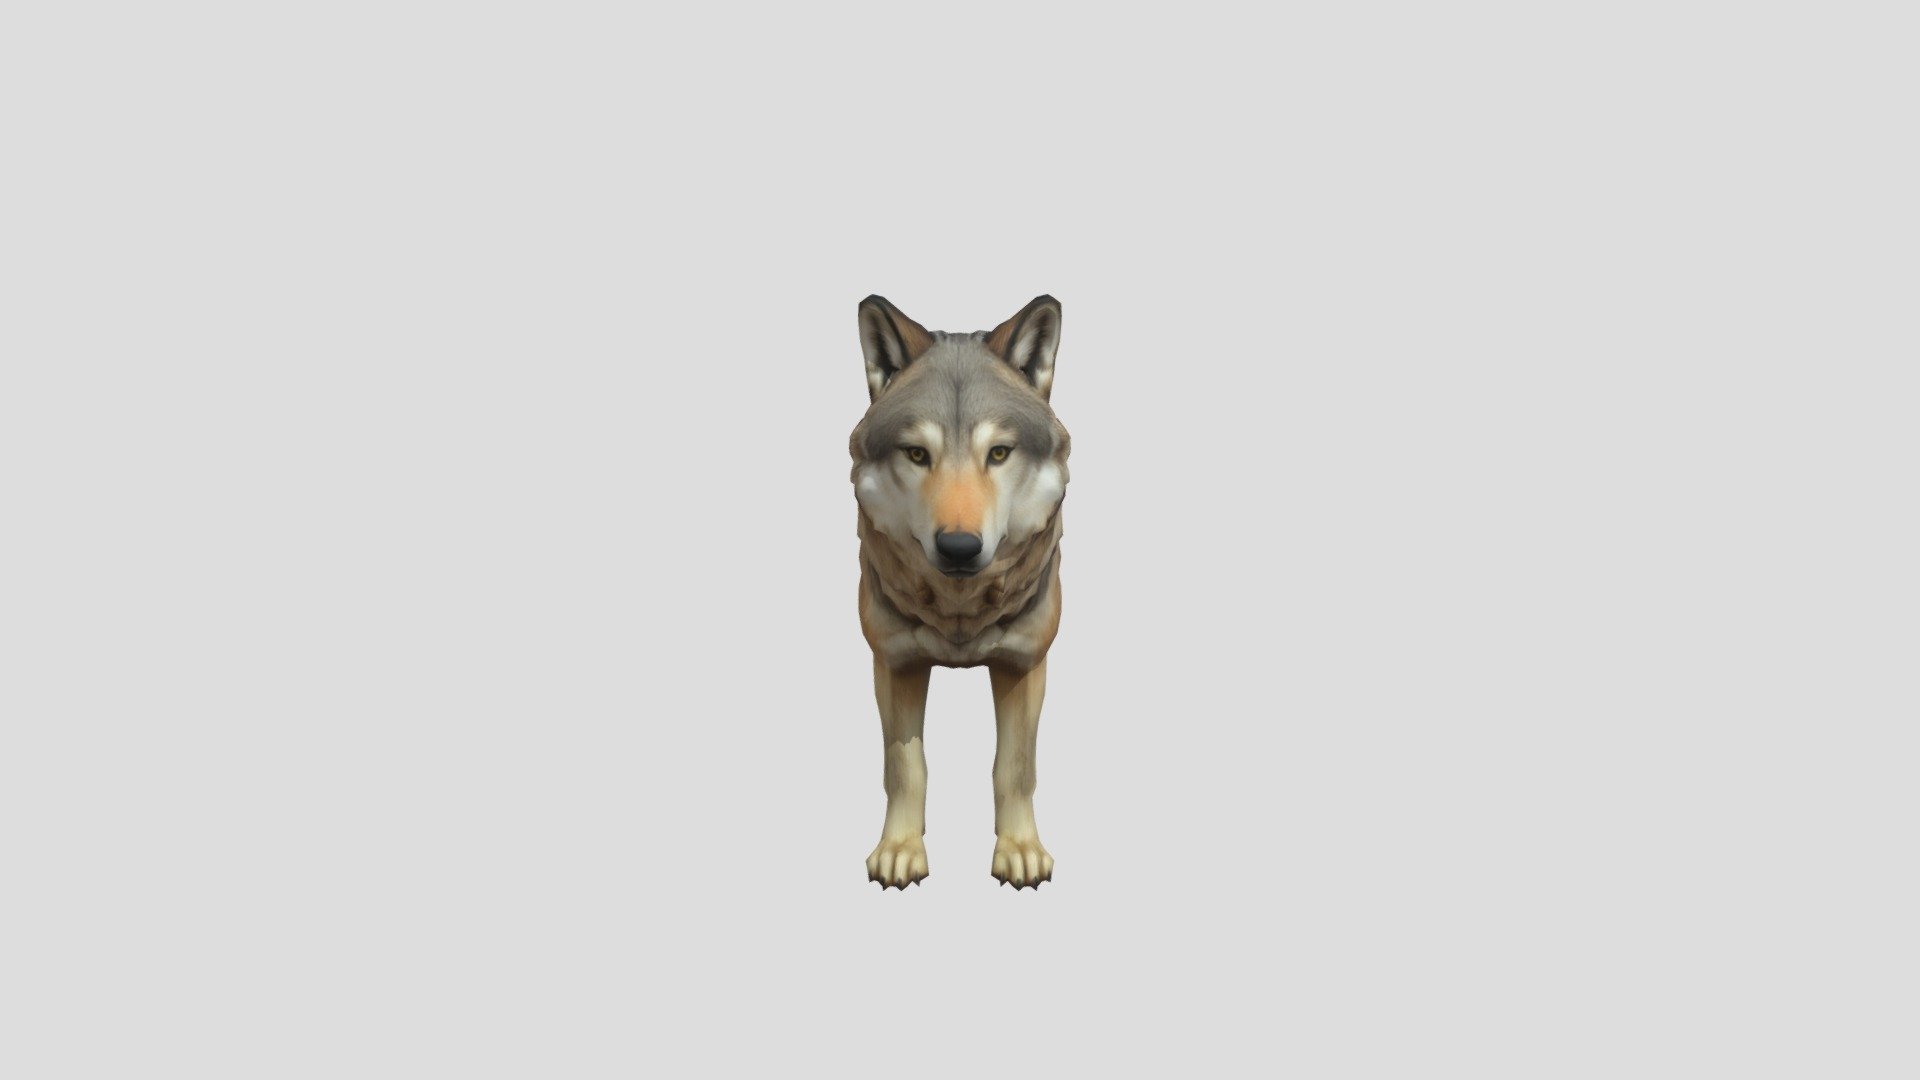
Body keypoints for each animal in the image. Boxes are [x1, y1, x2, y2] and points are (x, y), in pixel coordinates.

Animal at [849, 295, 1070, 890]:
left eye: (998, 453)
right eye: (916, 454)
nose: (958, 548)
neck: (959, 615)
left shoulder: (1024, 663)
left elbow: (1014, 768)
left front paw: (1020, 850)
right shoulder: (895, 662)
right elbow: (905, 768)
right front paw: (899, 850)